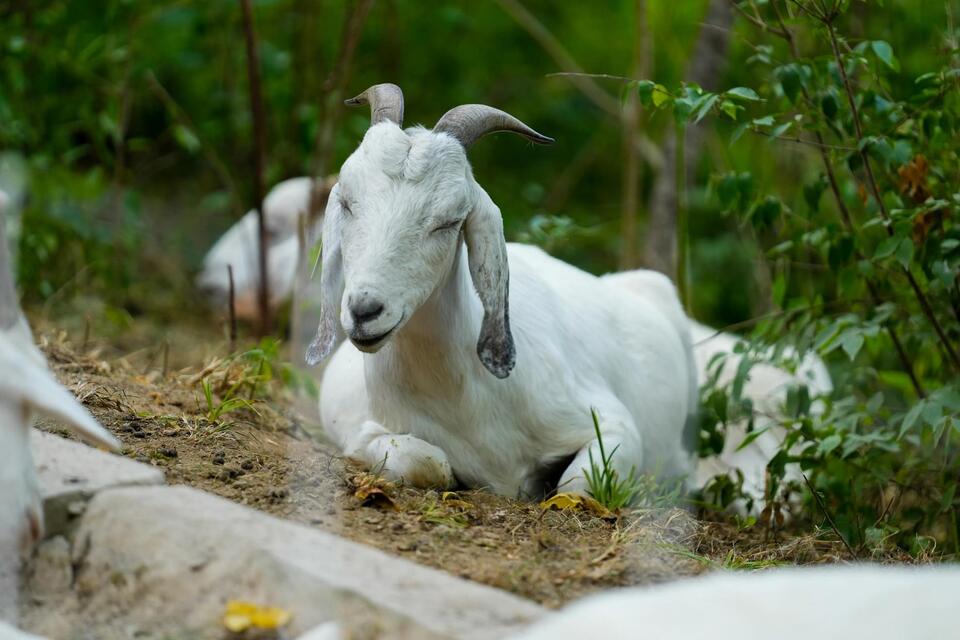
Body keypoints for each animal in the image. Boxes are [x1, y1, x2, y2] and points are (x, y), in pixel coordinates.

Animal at [308, 84, 698, 499]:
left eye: (449, 221)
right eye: (347, 203)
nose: (365, 311)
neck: (465, 396)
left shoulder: (613, 423)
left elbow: (576, 486)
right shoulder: (363, 434)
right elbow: (429, 463)